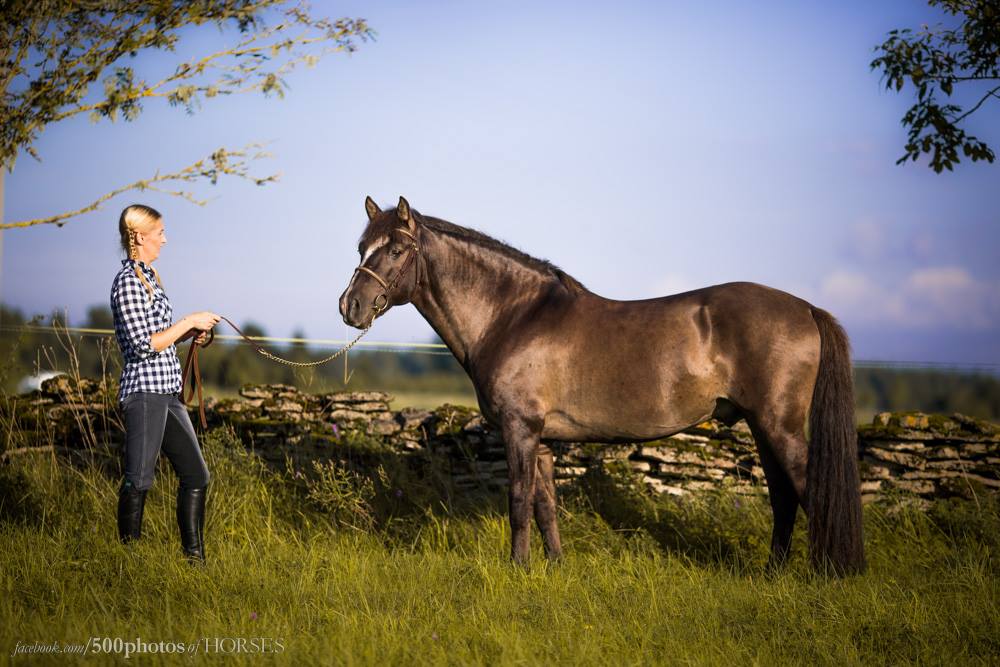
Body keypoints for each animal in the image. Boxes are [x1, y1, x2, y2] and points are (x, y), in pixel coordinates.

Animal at [338, 196, 865, 576]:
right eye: (361, 249)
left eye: (397, 250)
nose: (350, 306)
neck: (513, 316)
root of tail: (806, 309)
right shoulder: (541, 440)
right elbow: (546, 507)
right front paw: (552, 568)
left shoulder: (519, 430)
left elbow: (518, 502)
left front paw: (516, 569)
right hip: (762, 427)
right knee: (782, 497)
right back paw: (774, 572)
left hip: (779, 427)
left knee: (807, 492)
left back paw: (827, 574)